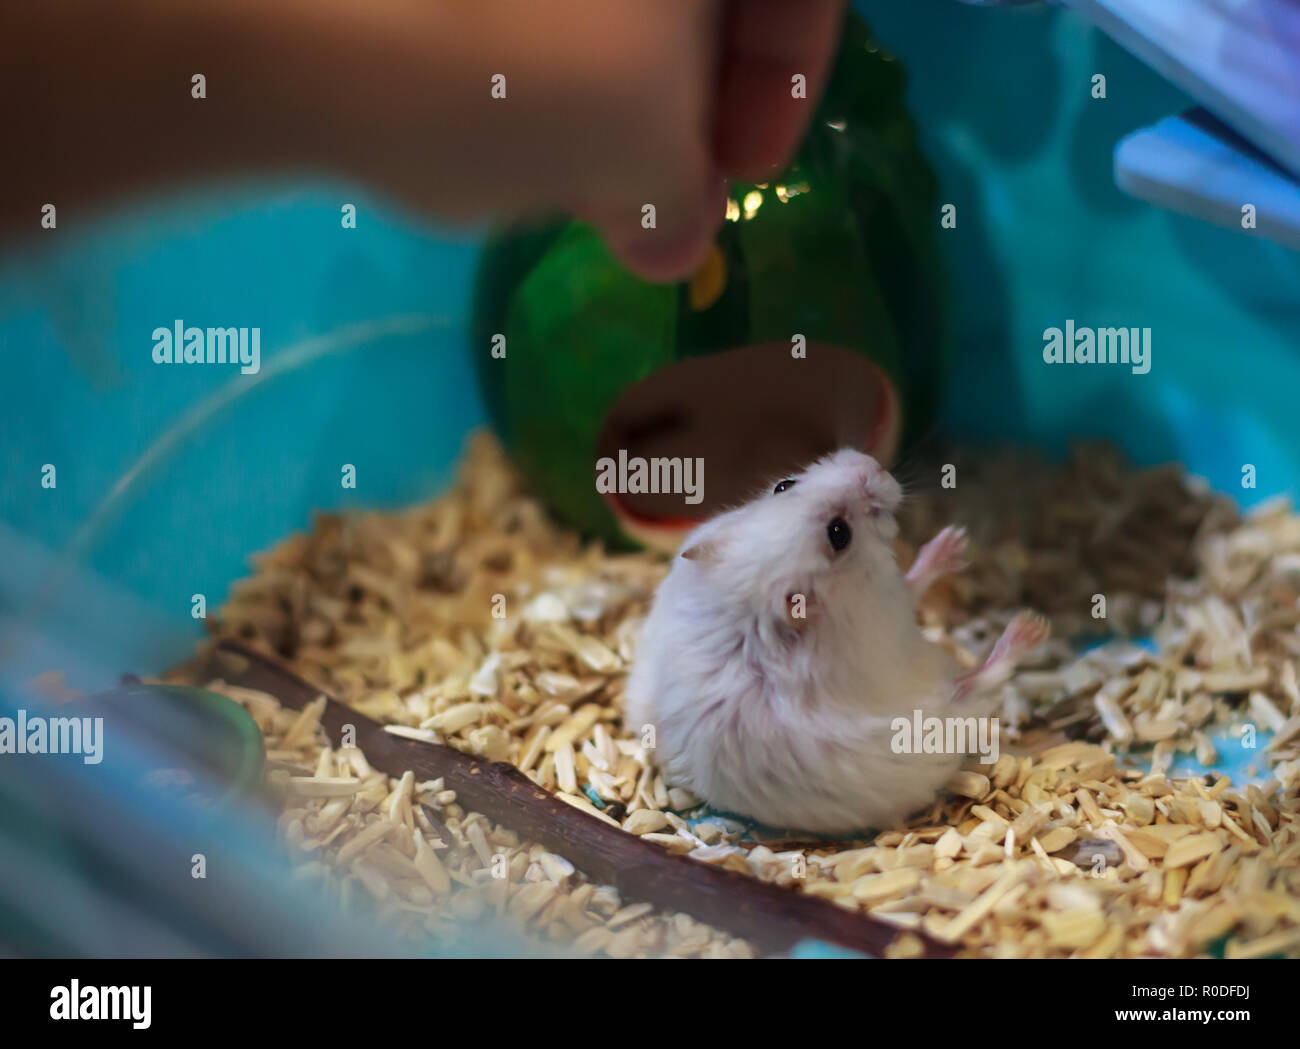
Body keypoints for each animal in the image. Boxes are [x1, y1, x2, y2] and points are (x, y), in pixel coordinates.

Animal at [624, 448, 1048, 835]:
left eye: (783, 485)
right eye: (838, 534)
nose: (872, 465)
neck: (749, 610)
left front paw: (953, 539)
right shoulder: (888, 608)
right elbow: (912, 586)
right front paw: (957, 542)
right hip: (938, 701)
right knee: (980, 682)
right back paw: (1028, 629)